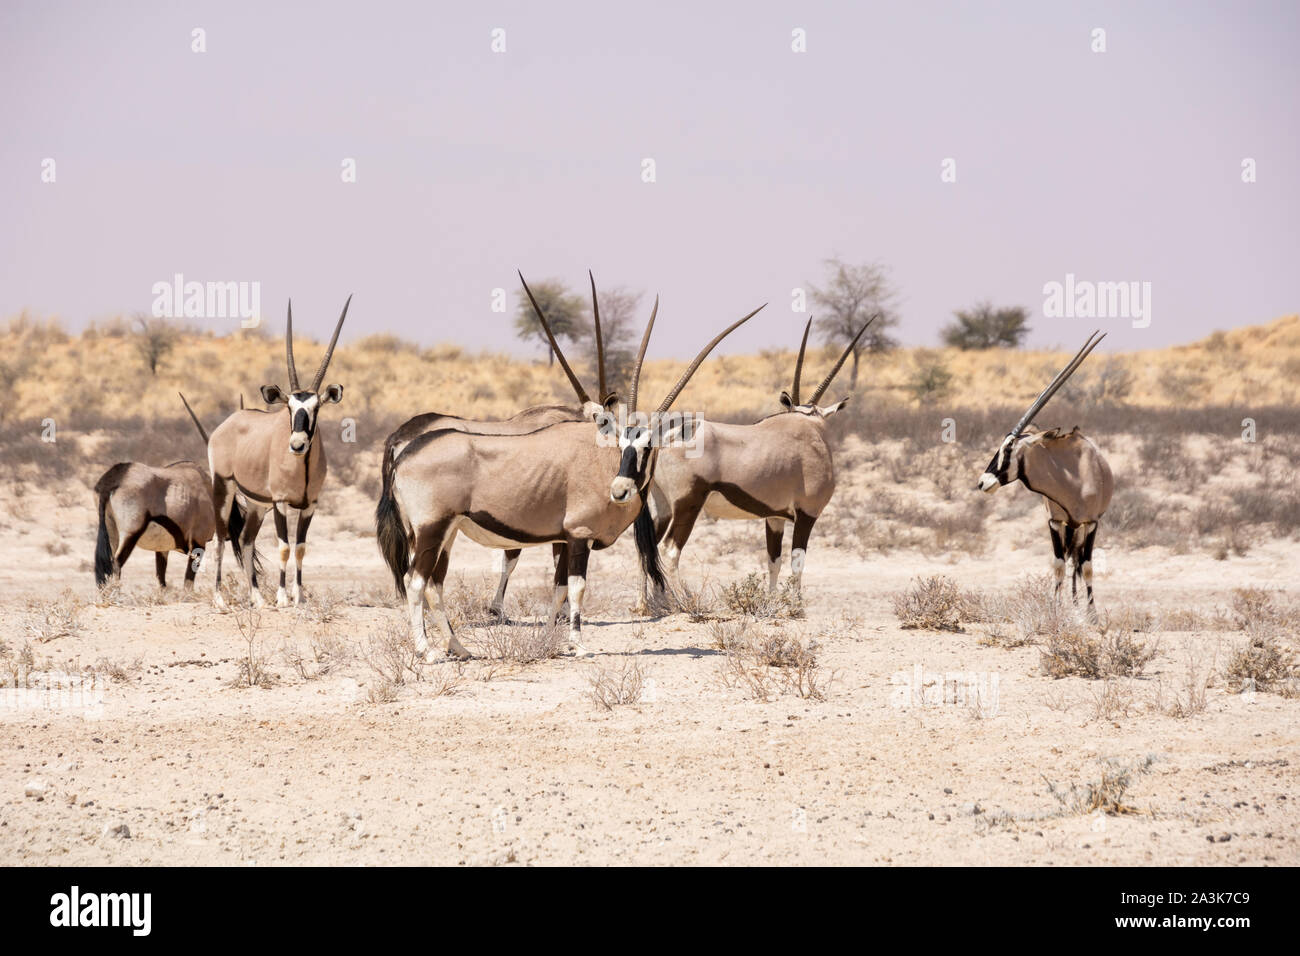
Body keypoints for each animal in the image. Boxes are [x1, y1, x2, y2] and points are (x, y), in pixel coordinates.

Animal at [92, 398, 218, 590]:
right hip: (130, 533)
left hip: (111, 531)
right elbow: (187, 583)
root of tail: (114, 479)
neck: (207, 488)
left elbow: (162, 580)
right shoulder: (198, 543)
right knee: (116, 563)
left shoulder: (162, 549)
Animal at [205, 297, 351, 607]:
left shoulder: (309, 505)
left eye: (315, 408)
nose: (297, 445)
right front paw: (283, 597)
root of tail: (229, 422)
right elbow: (284, 547)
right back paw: (220, 599)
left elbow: (301, 547)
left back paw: (257, 598)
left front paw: (299, 596)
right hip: (223, 487)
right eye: (289, 407)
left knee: (246, 540)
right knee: (221, 539)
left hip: (257, 504)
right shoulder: (281, 502)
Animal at [639, 316, 874, 608]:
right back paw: (686, 603)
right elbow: (797, 562)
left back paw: (646, 603)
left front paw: (771, 602)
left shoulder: (774, 517)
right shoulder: (807, 513)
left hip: (661, 505)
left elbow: (774, 561)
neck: (811, 429)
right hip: (687, 504)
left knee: (646, 548)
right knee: (669, 550)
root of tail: (662, 437)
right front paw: (796, 607)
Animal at [976, 330, 1114, 611]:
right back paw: (1073, 603)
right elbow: (1059, 566)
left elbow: (1088, 567)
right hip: (1069, 527)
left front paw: (1091, 614)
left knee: (1079, 563)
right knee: (1071, 562)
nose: (983, 482)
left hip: (1080, 527)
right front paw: (1056, 609)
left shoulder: (1092, 522)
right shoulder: (1055, 521)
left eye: (1009, 448)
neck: (1073, 478)